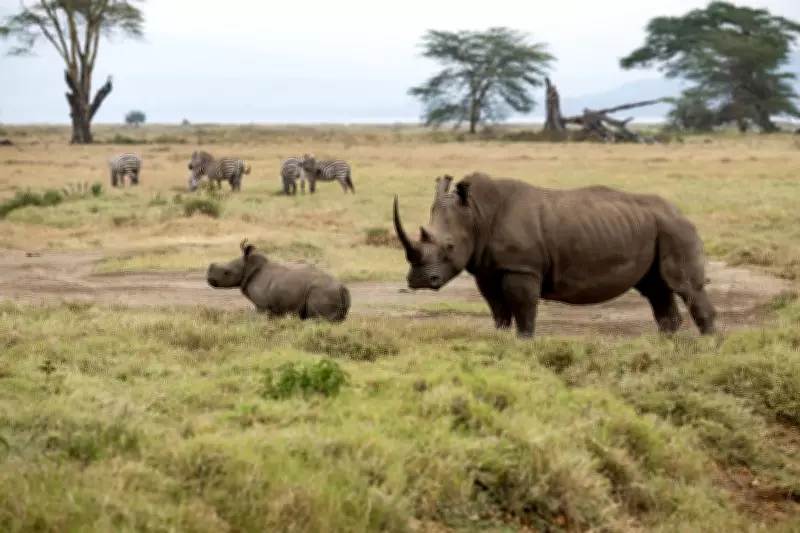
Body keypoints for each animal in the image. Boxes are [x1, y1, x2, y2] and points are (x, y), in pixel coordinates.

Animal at [206, 239, 351, 323]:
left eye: (226, 272)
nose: (208, 279)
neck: (249, 267)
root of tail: (341, 288)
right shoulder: (275, 307)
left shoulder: (262, 306)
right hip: (333, 293)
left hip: (322, 292)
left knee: (320, 320)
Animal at [392, 172, 717, 339]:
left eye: (449, 247)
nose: (418, 281)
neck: (476, 214)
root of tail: (681, 212)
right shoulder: (487, 270)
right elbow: (499, 311)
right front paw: (500, 341)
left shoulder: (521, 268)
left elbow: (524, 312)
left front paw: (523, 344)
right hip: (653, 227)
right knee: (656, 289)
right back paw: (667, 347)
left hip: (676, 228)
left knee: (685, 286)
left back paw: (708, 349)